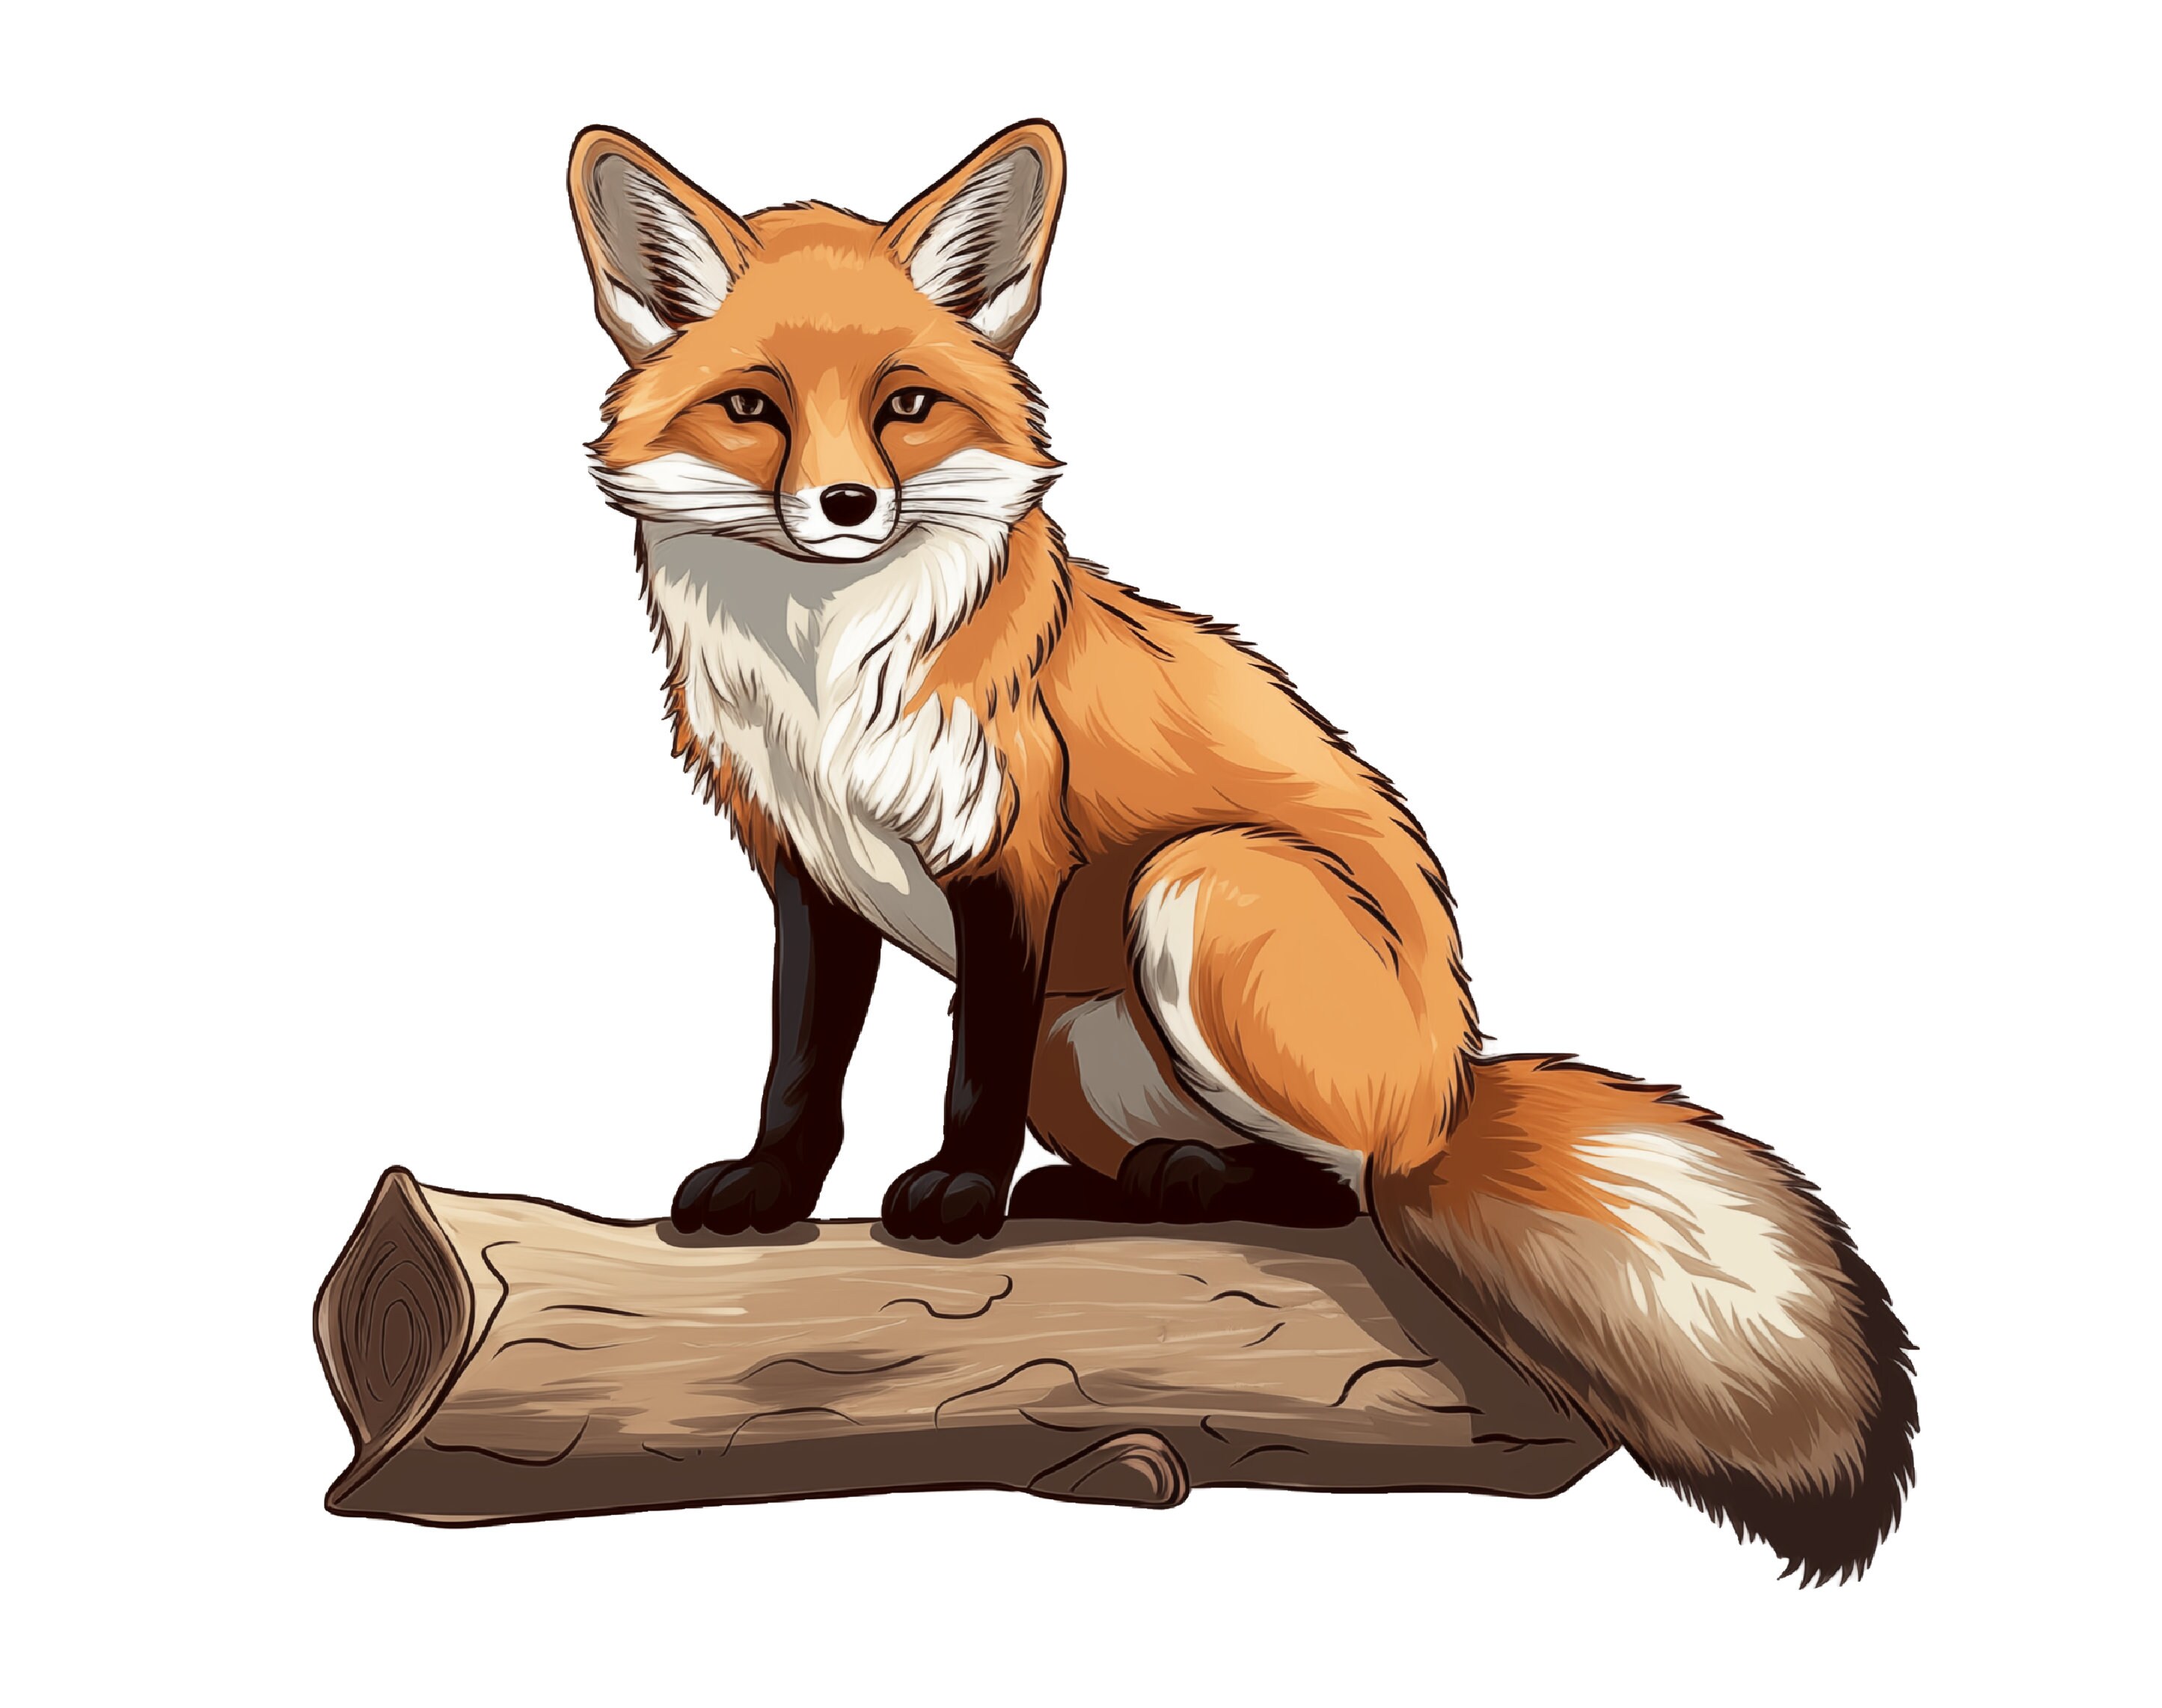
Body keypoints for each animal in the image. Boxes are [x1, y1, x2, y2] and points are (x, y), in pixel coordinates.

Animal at [568, 119, 1916, 1583]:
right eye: (753, 407)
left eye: (906, 404)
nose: (849, 501)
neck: (822, 673)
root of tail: (1451, 1088)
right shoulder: (807, 869)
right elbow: (801, 1063)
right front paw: (770, 1189)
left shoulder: (1010, 858)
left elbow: (967, 1073)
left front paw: (961, 1194)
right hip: (1083, 1036)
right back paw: (1118, 1188)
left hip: (1200, 882)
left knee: (1346, 1190)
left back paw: (1166, 1181)